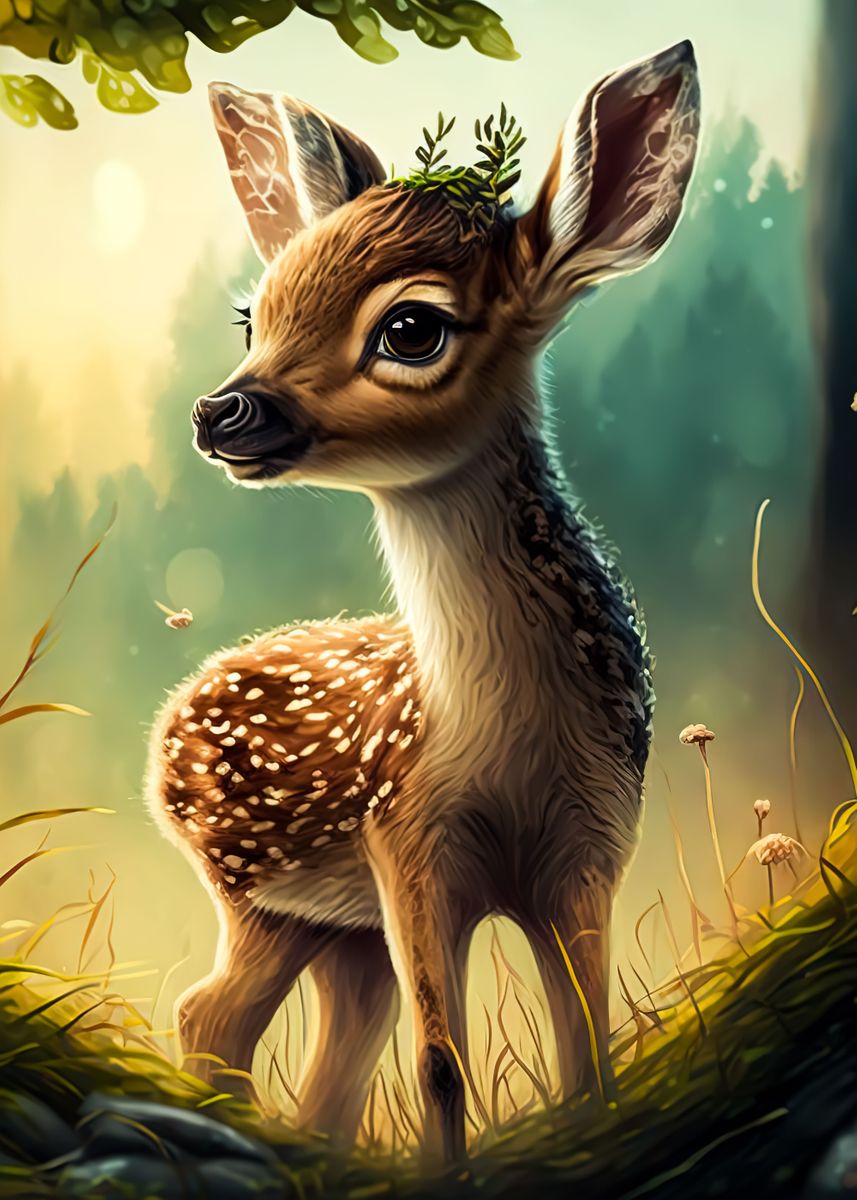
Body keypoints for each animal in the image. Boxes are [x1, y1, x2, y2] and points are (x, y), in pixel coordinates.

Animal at [146, 41, 699, 1164]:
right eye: (255, 313)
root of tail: (164, 736)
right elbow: (441, 1066)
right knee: (211, 1016)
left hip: (331, 922)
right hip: (256, 889)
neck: (496, 736)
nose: (221, 411)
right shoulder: (408, 839)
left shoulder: (590, 851)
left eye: (410, 327)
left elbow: (588, 1054)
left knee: (321, 1041)